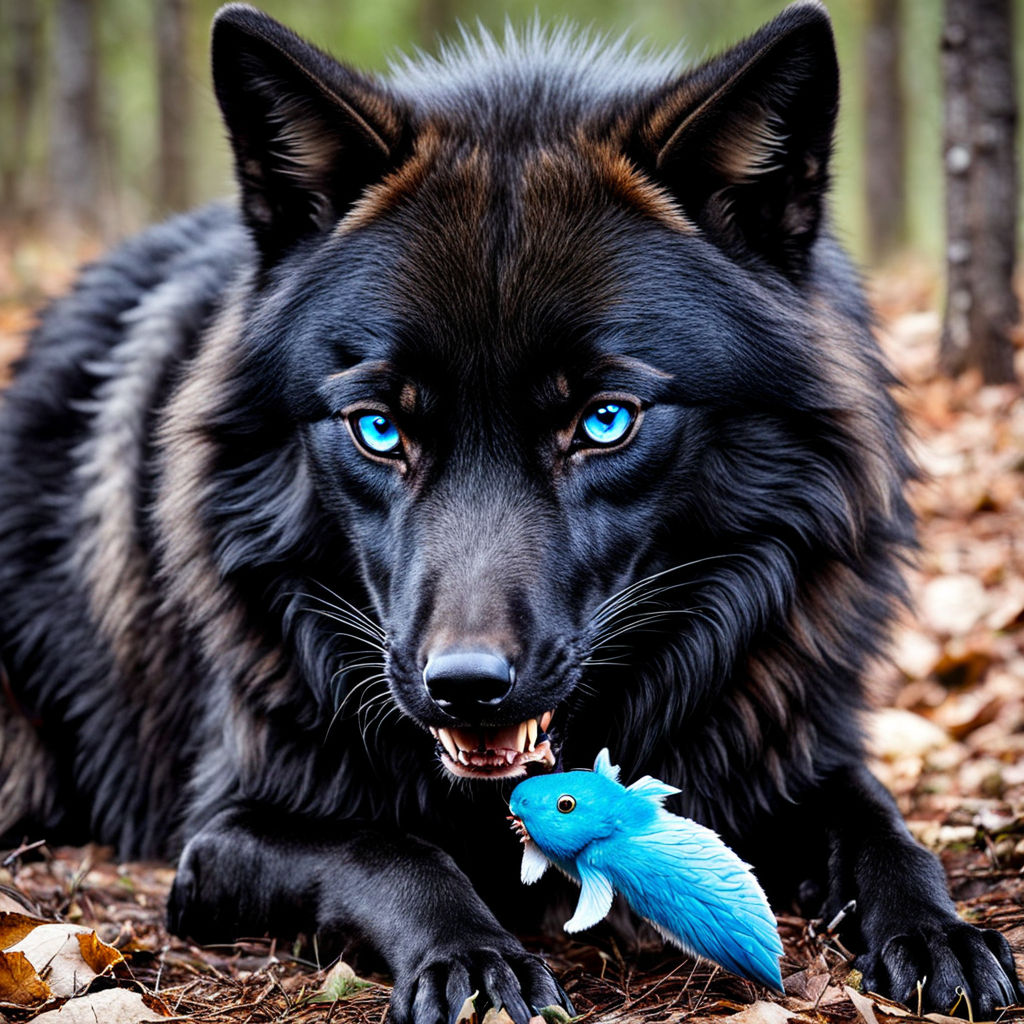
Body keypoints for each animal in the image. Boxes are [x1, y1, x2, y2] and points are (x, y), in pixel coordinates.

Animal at [1, 3, 1020, 1021]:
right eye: (378, 428)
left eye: (604, 420)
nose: (464, 684)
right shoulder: (217, 835)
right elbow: (389, 846)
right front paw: (473, 959)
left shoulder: (783, 745)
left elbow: (883, 825)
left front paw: (940, 933)